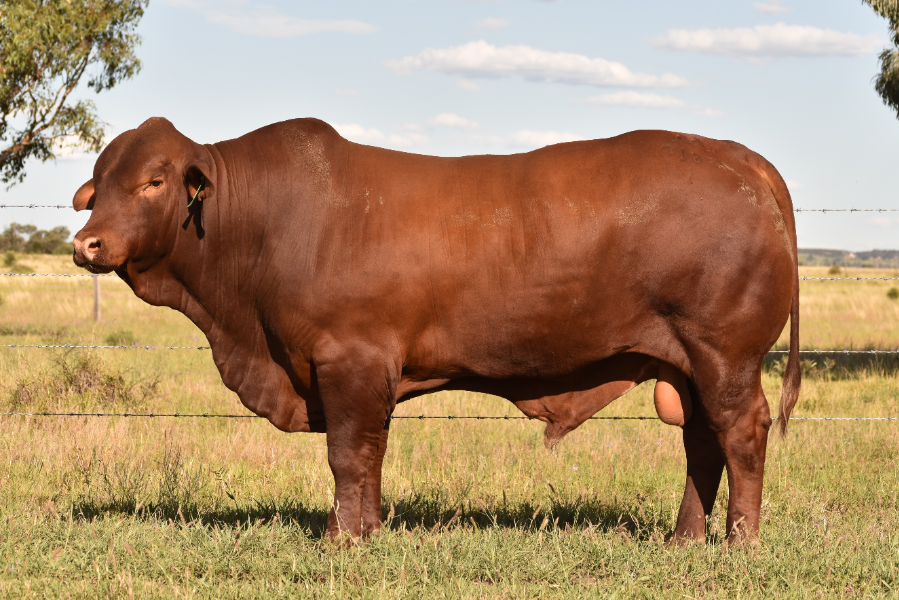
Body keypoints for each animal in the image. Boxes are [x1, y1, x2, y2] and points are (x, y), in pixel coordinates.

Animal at [72, 117, 800, 544]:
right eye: (99, 183)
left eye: (154, 180)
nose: (87, 244)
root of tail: (740, 157)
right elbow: (365, 455)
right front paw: (362, 529)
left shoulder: (352, 359)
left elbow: (349, 453)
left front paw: (344, 539)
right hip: (688, 364)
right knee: (701, 444)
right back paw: (685, 537)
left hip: (724, 354)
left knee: (741, 435)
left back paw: (739, 540)